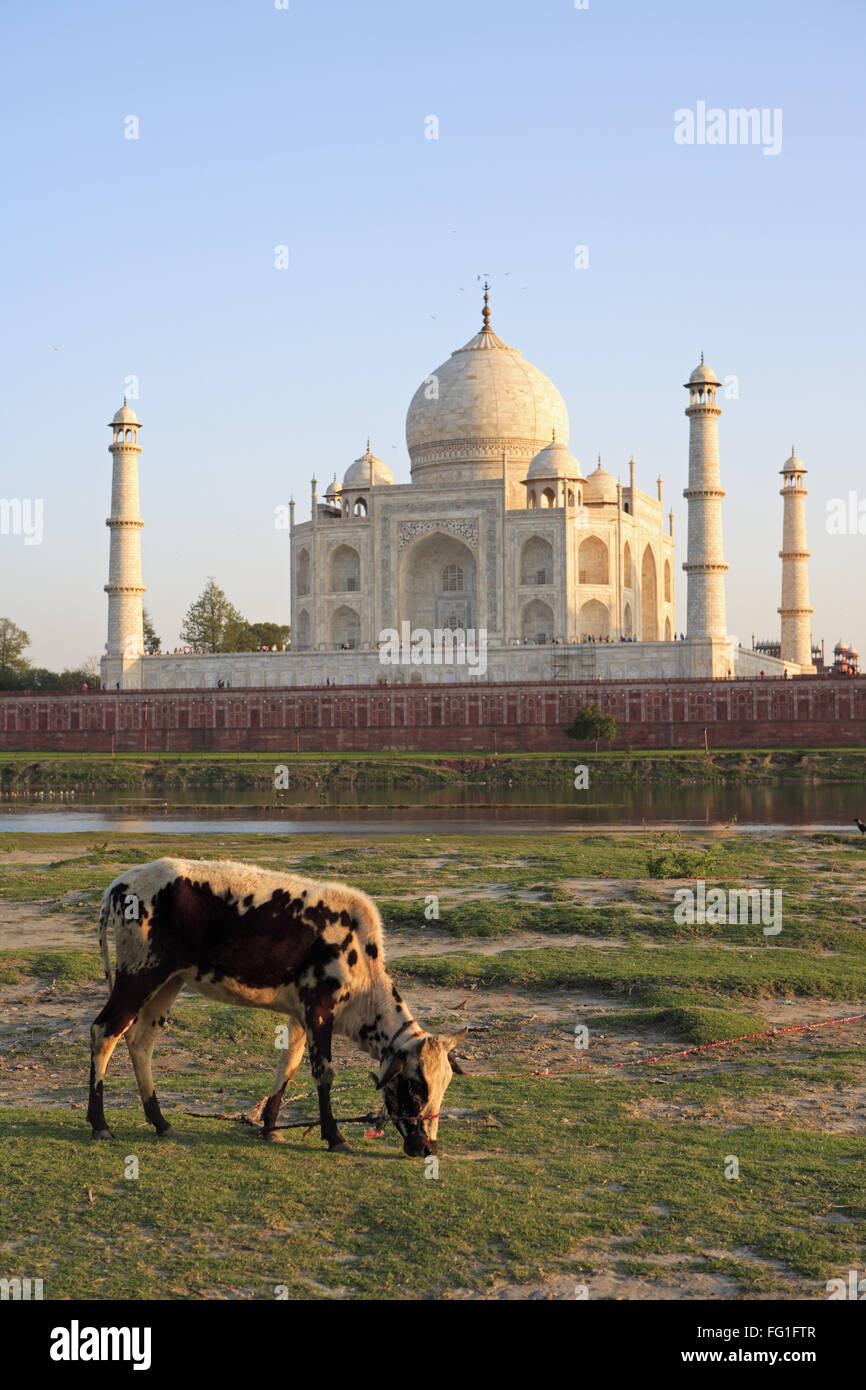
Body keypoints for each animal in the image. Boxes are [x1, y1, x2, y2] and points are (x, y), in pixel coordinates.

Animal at [87, 857, 465, 1157]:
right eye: (415, 1089)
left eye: (444, 1087)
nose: (427, 1147)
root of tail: (124, 881)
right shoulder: (319, 1009)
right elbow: (324, 1073)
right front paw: (335, 1137)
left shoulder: (300, 1016)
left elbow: (288, 1065)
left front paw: (269, 1127)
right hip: (140, 974)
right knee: (104, 1032)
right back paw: (100, 1123)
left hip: (169, 980)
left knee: (140, 1041)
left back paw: (160, 1121)